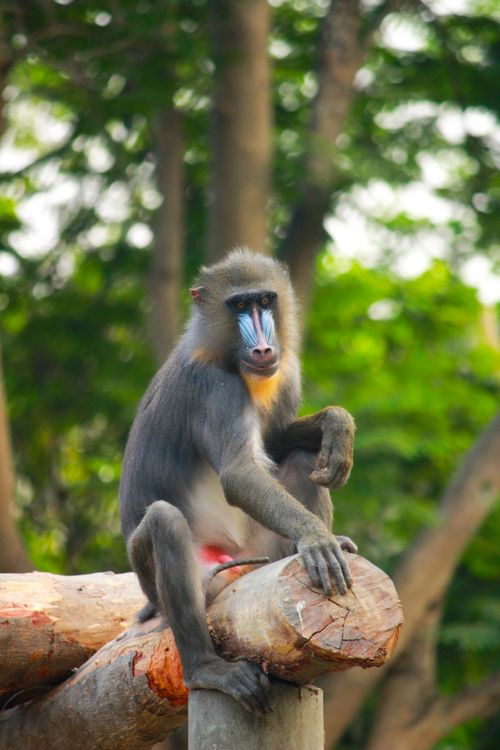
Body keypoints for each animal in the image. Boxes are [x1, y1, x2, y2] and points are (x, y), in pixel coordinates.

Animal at [120, 249, 356, 715]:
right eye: (239, 305)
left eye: (265, 300)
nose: (263, 347)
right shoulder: (215, 388)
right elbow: (238, 472)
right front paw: (316, 538)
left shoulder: (285, 372)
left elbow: (277, 441)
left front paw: (336, 425)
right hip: (192, 578)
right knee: (164, 521)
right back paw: (206, 669)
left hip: (260, 552)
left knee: (304, 459)